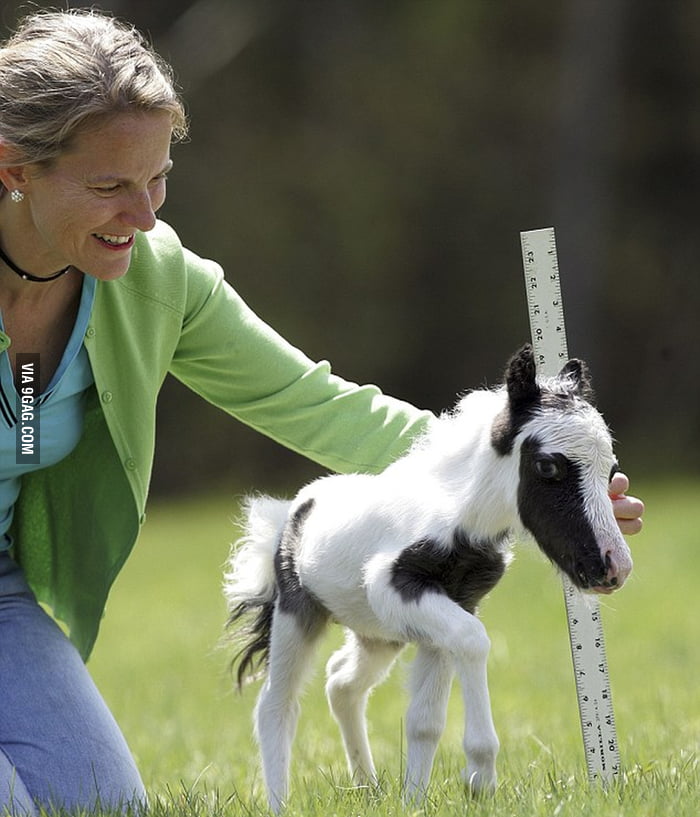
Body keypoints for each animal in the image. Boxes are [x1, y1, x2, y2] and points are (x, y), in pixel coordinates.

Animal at [223, 344, 633, 812]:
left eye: (611, 471)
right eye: (548, 467)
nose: (614, 566)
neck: (458, 516)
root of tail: (291, 511)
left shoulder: (451, 605)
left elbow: (425, 720)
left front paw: (414, 801)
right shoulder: (395, 587)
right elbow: (474, 641)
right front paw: (480, 776)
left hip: (379, 635)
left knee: (341, 683)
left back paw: (368, 787)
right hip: (297, 614)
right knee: (277, 703)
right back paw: (281, 804)